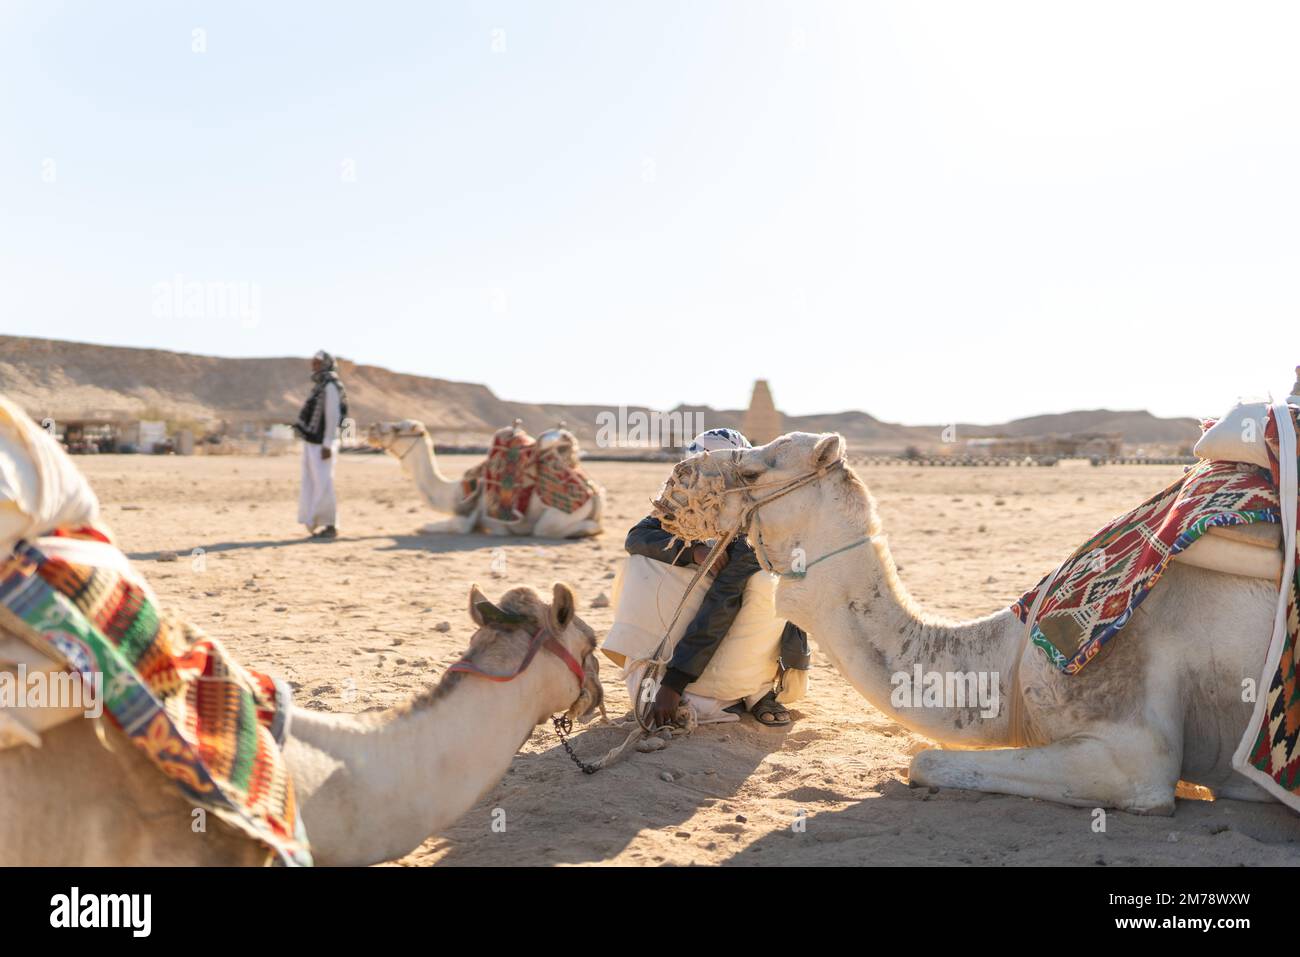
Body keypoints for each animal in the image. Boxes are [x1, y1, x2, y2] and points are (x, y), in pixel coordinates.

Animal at [368, 421, 603, 538]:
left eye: (398, 428)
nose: (372, 428)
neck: (456, 492)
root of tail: (594, 493)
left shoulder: (473, 521)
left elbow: (424, 527)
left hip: (559, 515)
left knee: (546, 530)